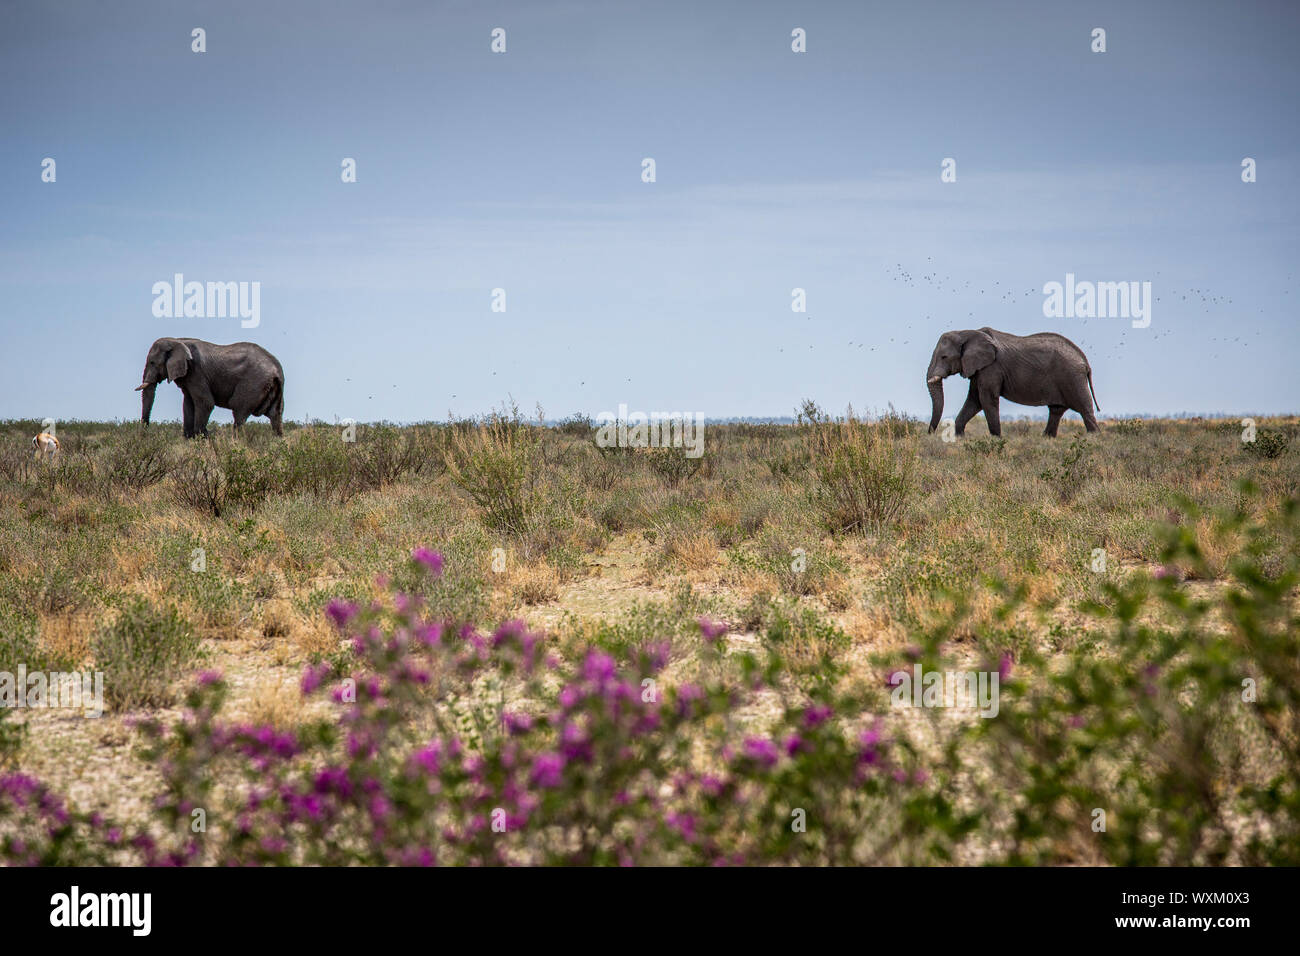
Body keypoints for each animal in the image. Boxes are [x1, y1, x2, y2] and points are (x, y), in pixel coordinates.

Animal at [135, 338, 284, 438]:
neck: (177, 340)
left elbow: (205, 403)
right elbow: (188, 404)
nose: (145, 433)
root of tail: (277, 369)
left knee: (239, 413)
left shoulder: (197, 373)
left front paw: (203, 438)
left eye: (152, 362)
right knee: (275, 415)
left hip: (252, 383)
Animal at [926, 327, 1099, 438]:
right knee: (1056, 410)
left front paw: (996, 440)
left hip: (1073, 378)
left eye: (944, 357)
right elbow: (974, 400)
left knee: (1085, 410)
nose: (929, 433)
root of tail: (1084, 360)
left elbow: (986, 399)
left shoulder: (991, 367)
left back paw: (1094, 439)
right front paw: (960, 438)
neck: (966, 333)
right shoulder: (979, 369)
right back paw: (1047, 438)